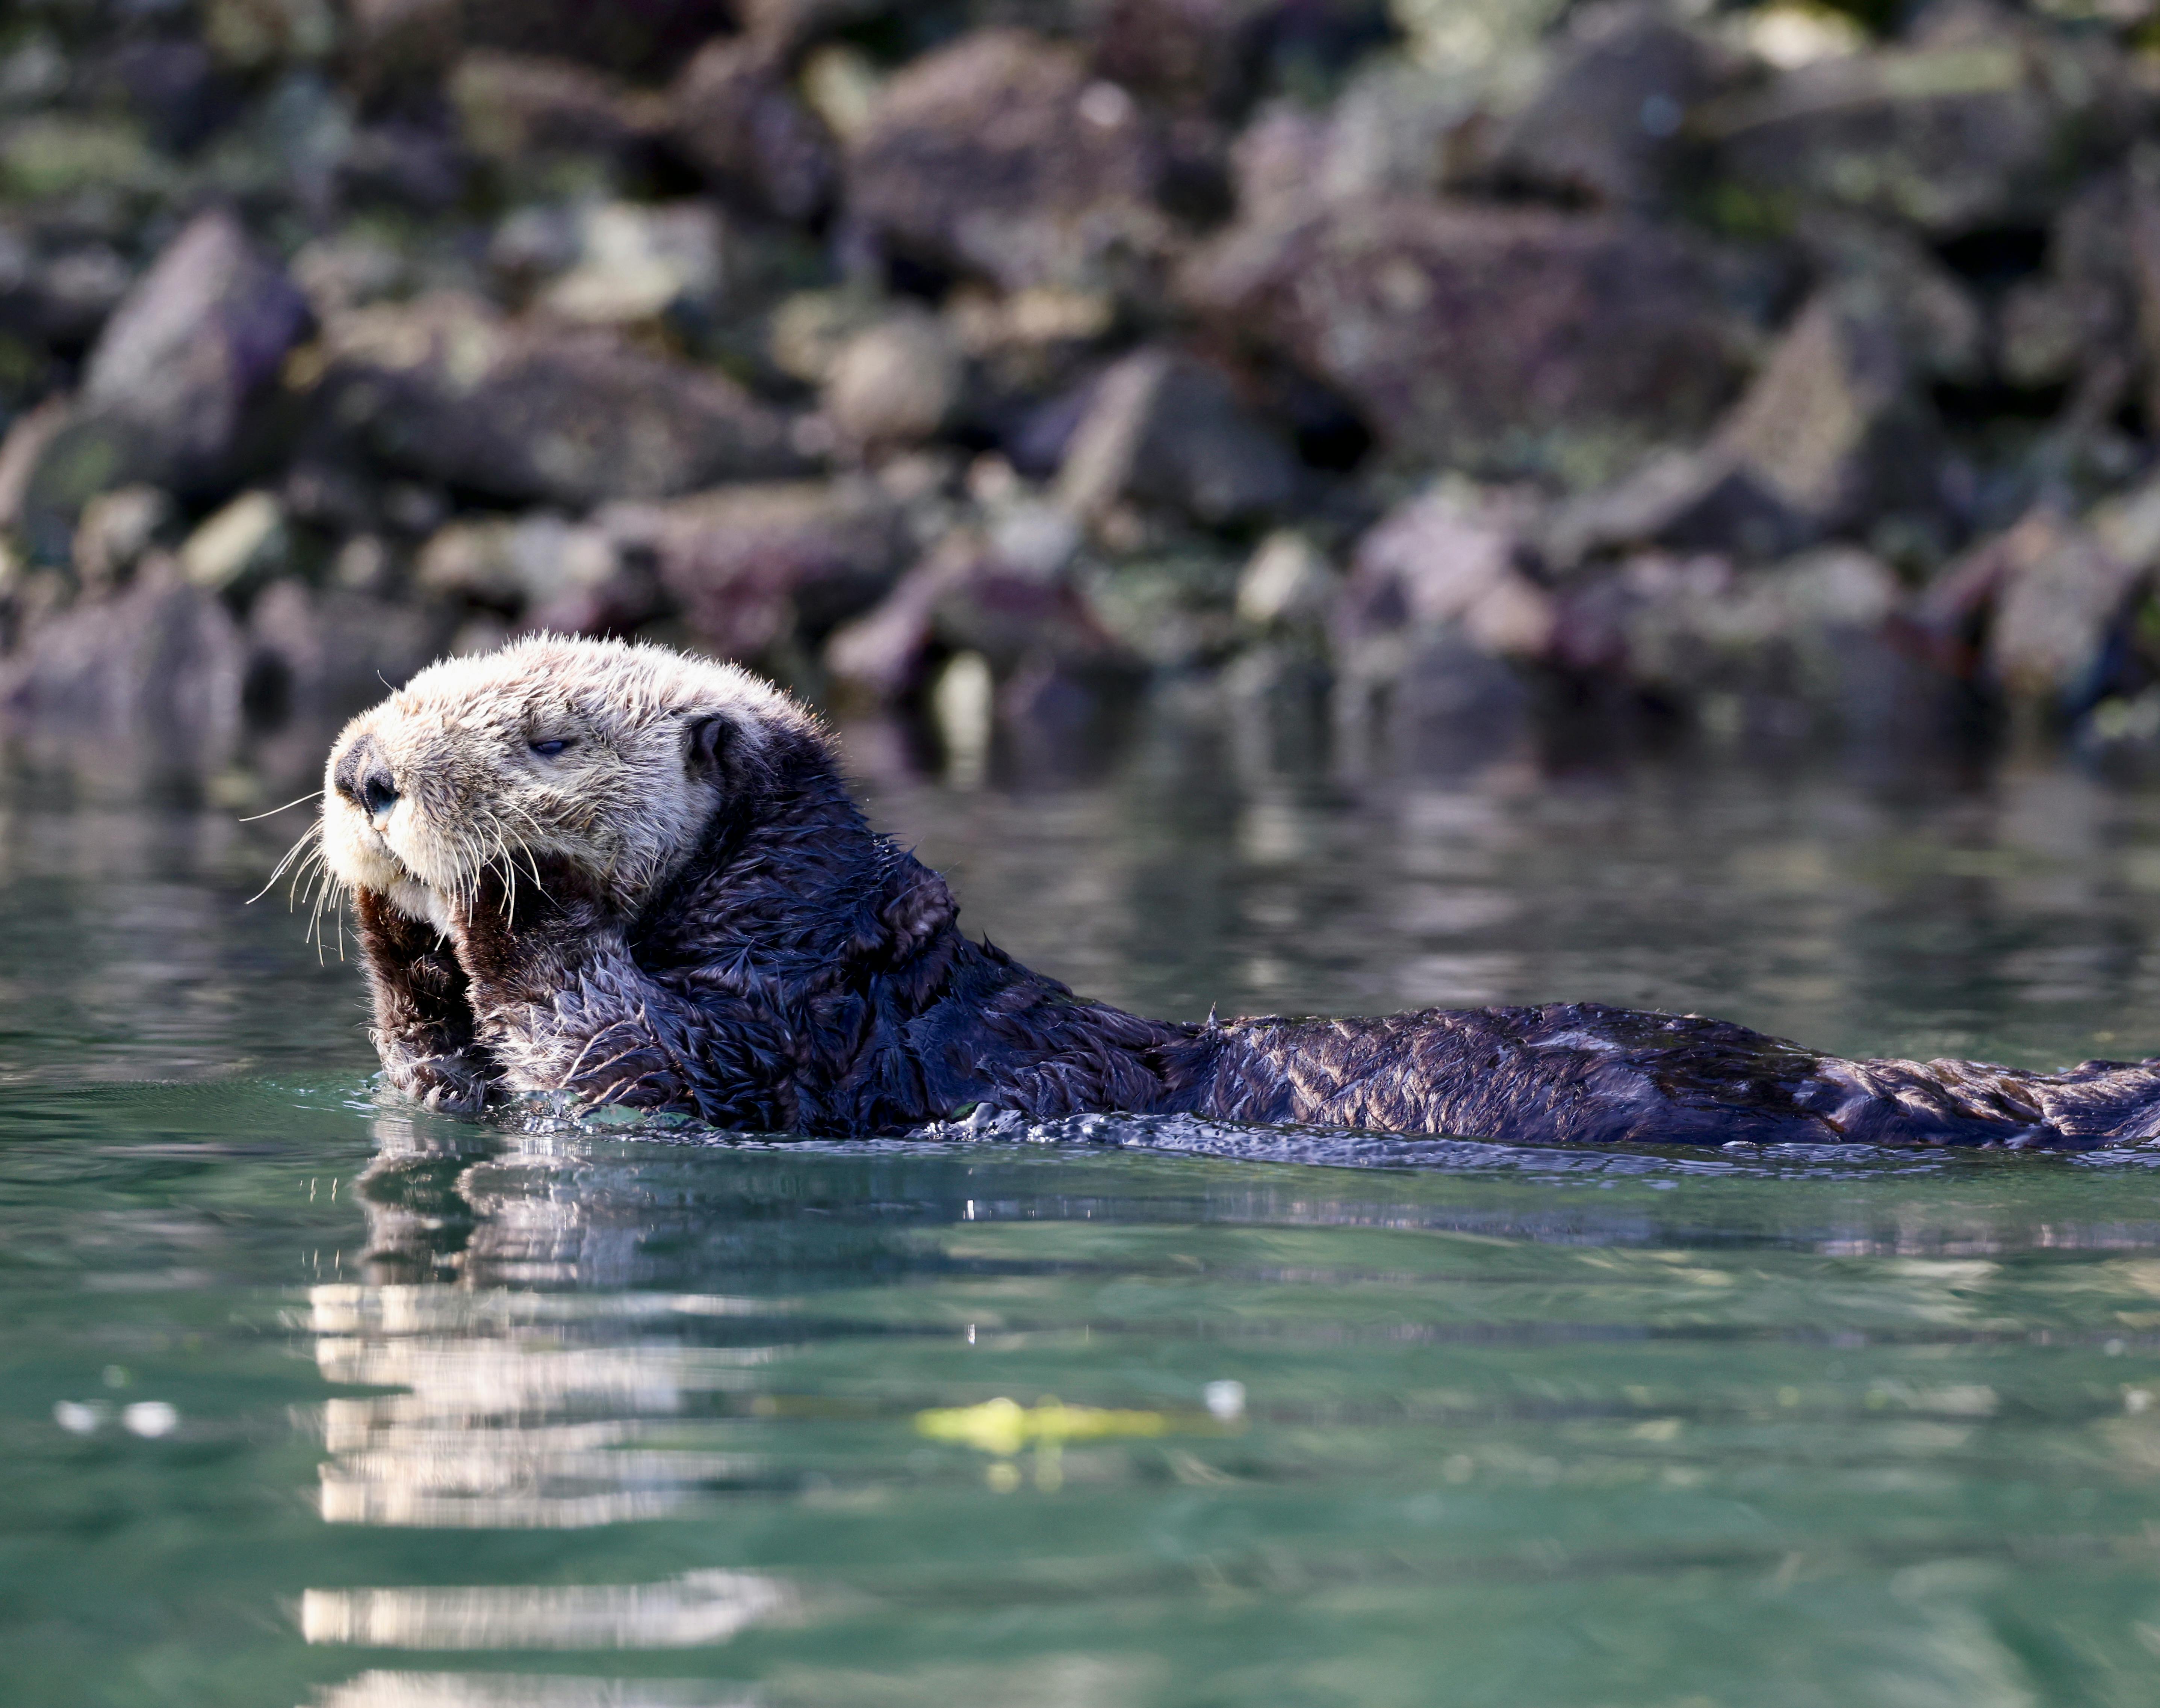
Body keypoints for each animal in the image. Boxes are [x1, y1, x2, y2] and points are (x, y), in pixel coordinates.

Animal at [311, 636, 2160, 1150]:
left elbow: (610, 1044)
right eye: (408, 683)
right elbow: (451, 1066)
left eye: (547, 731)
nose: (361, 771)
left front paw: (503, 898)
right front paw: (397, 930)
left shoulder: (792, 1041)